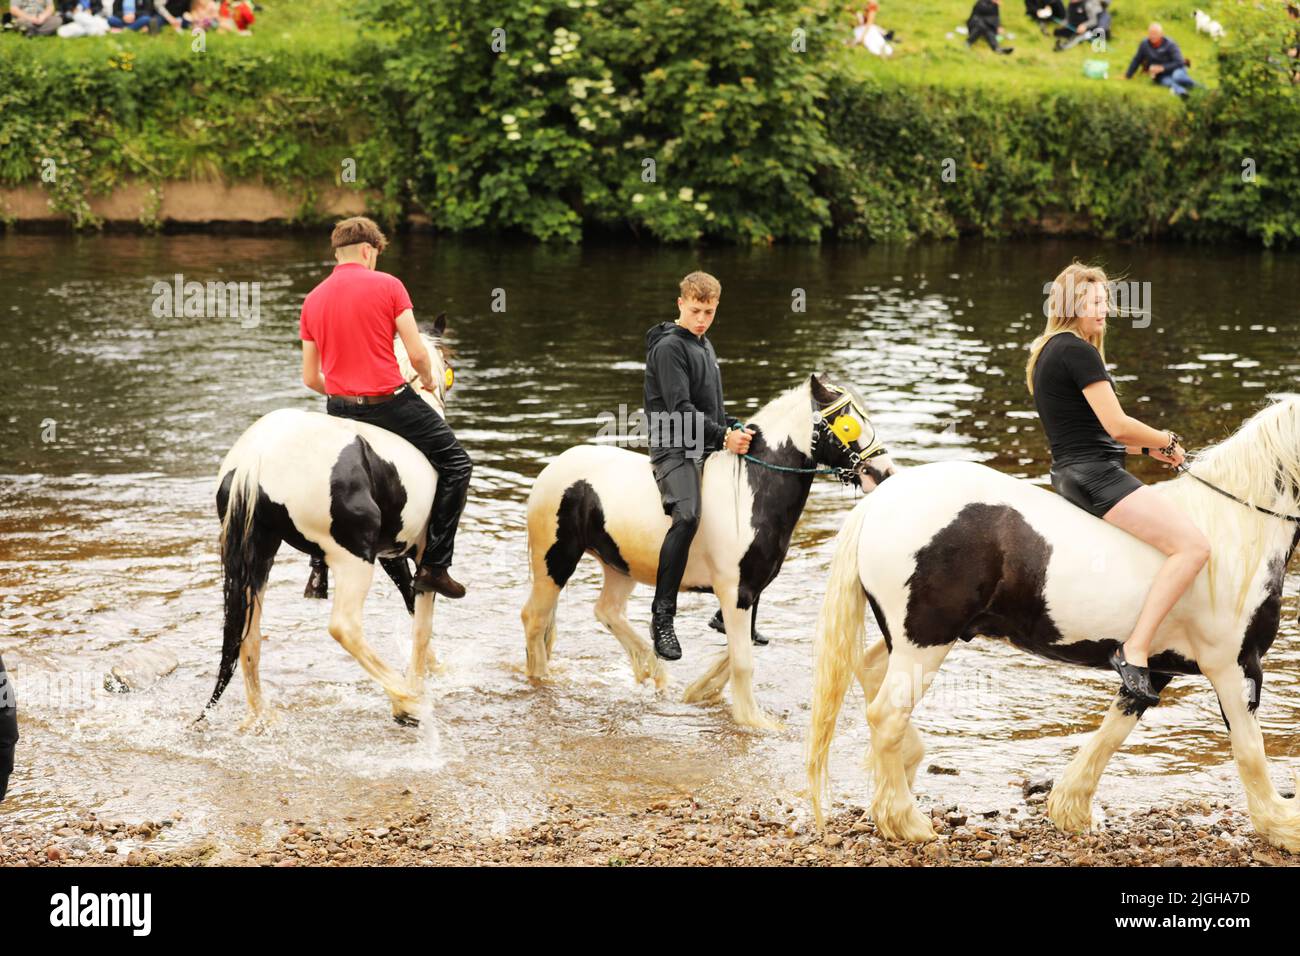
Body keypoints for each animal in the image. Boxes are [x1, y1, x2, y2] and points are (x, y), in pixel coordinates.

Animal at [200, 315, 456, 730]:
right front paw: (420, 681)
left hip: (259, 552)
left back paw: (260, 716)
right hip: (352, 558)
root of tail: (255, 459)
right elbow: (422, 621)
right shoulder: (421, 552)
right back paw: (405, 700)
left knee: (248, 634)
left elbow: (411, 604)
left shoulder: (392, 553)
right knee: (344, 627)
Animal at [521, 374, 897, 731]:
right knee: (535, 618)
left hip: (619, 565)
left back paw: (653, 671)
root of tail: (554, 468)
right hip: (555, 559)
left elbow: (741, 647)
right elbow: (743, 661)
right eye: (847, 424)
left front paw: (700, 691)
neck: (750, 490)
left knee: (607, 611)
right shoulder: (734, 591)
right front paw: (753, 720)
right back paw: (543, 679)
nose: (884, 473)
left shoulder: (750, 590)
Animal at [806, 396, 1300, 853]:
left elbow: (1112, 731)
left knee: (869, 674)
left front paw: (1072, 810)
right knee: (887, 713)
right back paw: (906, 822)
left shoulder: (1155, 668)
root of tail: (881, 502)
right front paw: (1282, 826)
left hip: (906, 638)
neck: (1237, 530)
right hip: (926, 640)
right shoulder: (1233, 666)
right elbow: (1249, 751)